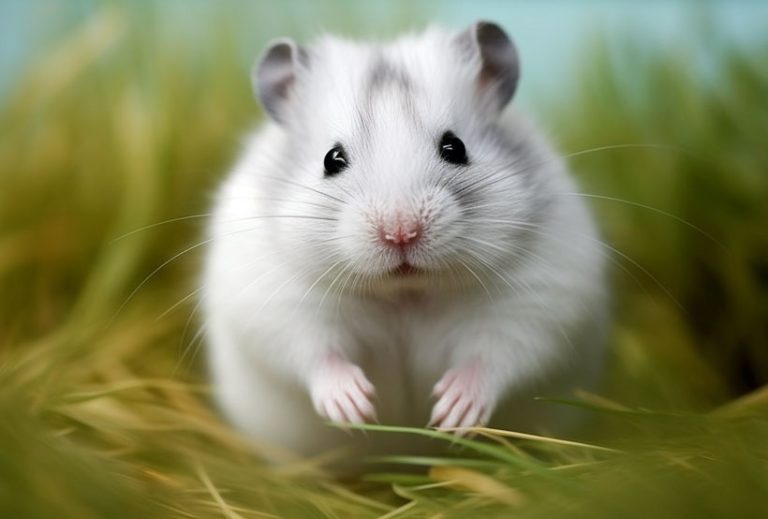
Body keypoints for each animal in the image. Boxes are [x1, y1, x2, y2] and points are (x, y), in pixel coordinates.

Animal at [201, 21, 609, 463]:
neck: (406, 293)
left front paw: (451, 416)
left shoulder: (537, 302)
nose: (401, 232)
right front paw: (355, 408)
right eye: (332, 159)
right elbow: (316, 354)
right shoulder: (278, 305)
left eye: (455, 147)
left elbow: (493, 357)